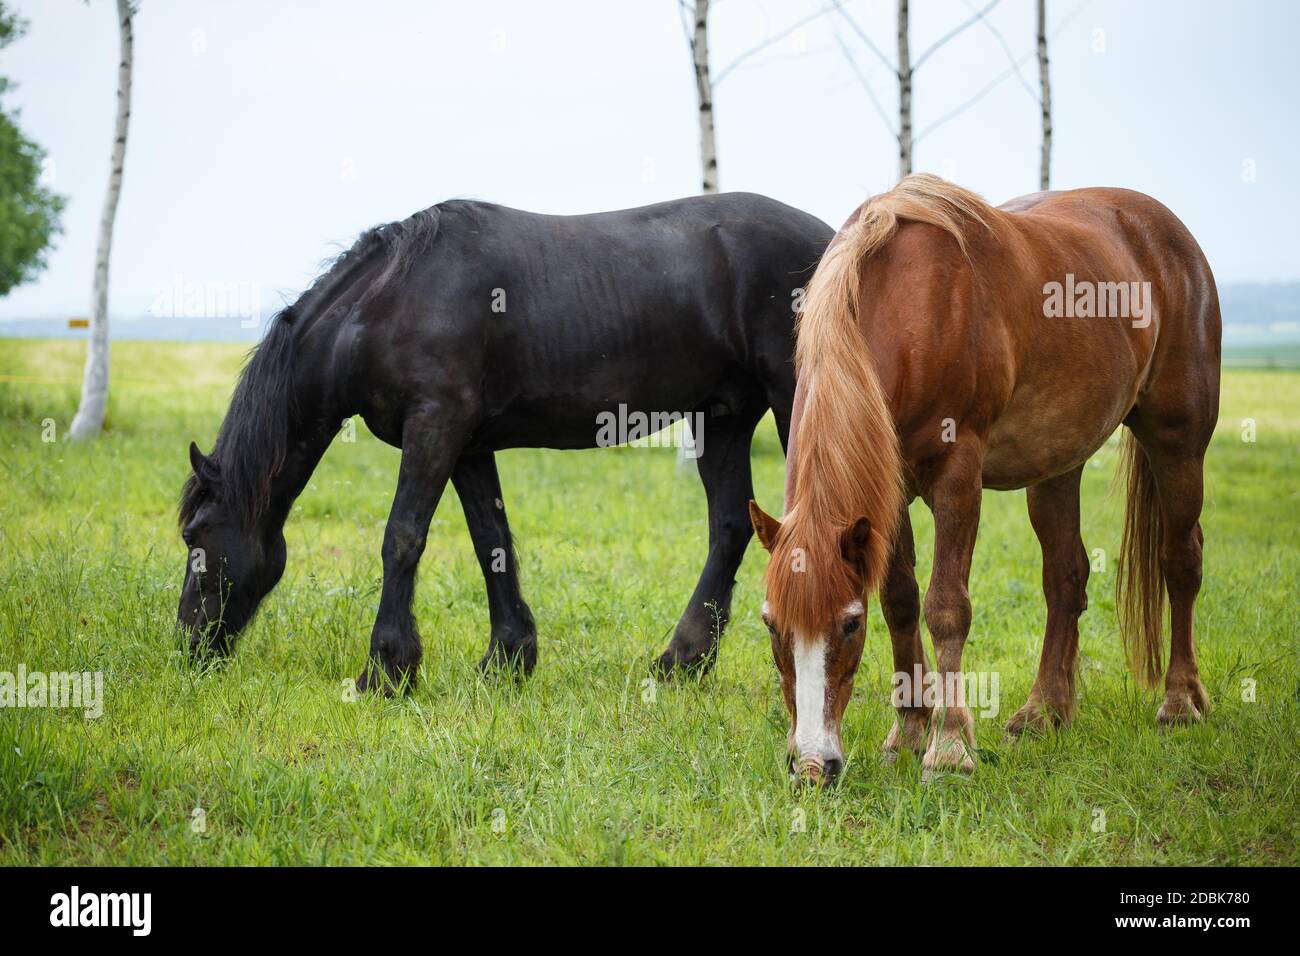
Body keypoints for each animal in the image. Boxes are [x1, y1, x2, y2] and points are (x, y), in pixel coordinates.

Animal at [177, 193, 833, 692]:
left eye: (195, 536)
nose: (187, 645)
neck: (389, 302)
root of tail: (831, 237)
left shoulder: (435, 426)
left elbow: (402, 538)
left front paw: (386, 670)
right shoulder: (466, 444)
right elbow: (488, 538)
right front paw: (506, 660)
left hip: (792, 403)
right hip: (722, 418)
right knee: (730, 525)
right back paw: (681, 662)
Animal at [748, 174, 1220, 784]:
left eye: (850, 625)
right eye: (770, 624)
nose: (812, 765)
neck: (910, 307)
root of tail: (1165, 232)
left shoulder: (958, 476)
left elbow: (946, 608)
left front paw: (949, 747)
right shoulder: (888, 494)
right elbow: (901, 602)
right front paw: (908, 732)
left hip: (1178, 443)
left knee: (1180, 561)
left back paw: (1180, 703)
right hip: (1058, 468)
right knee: (1065, 579)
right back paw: (1044, 712)